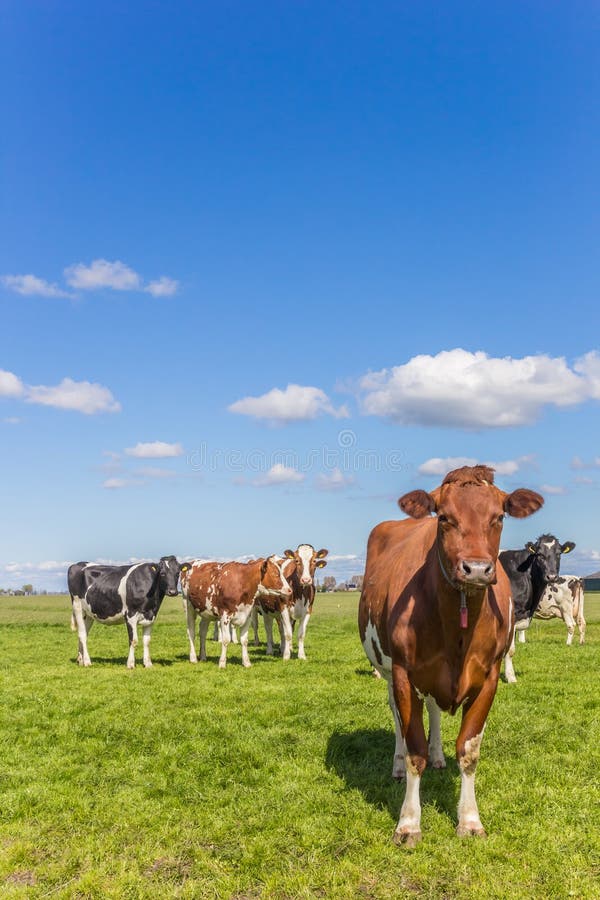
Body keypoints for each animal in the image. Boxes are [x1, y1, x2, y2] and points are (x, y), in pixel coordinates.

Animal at [358, 466, 543, 845]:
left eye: (499, 516)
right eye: (444, 517)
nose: (476, 569)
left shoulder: (488, 677)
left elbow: (469, 750)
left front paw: (469, 819)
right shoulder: (403, 673)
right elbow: (414, 749)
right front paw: (408, 822)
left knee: (432, 708)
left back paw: (438, 754)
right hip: (389, 670)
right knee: (397, 718)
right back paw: (397, 764)